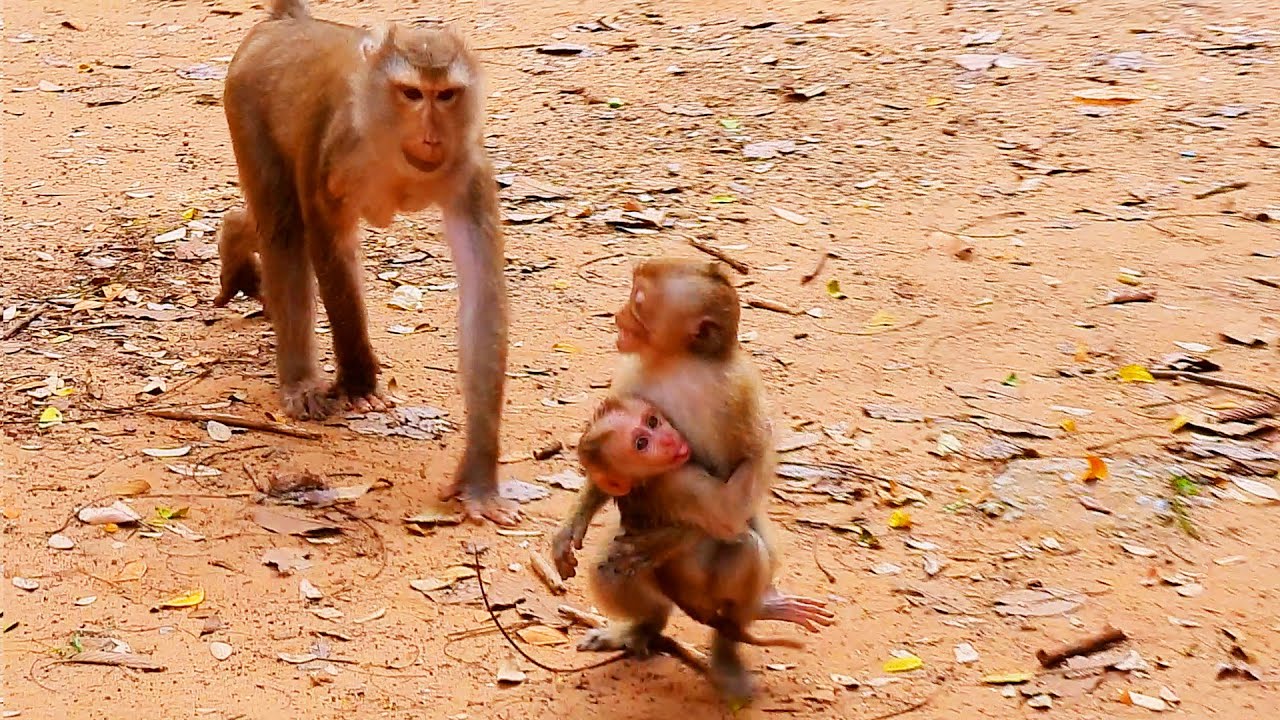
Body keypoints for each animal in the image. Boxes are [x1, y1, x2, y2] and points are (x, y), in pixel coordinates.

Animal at [217, 0, 515, 523]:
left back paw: (235, 239)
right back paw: (299, 380)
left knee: (267, 223)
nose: (431, 136)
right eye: (412, 94)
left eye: (447, 95)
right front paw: (357, 382)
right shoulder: (334, 143)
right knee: (284, 226)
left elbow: (482, 295)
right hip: (245, 101)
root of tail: (287, 24)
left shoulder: (470, 170)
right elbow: (325, 239)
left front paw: (479, 477)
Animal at [552, 259, 832, 704]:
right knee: (610, 568)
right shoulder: (633, 376)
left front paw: (664, 539)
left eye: (639, 303)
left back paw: (732, 641)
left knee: (743, 549)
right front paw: (570, 529)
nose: (619, 316)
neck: (679, 363)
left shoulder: (738, 392)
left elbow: (737, 498)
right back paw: (645, 626)